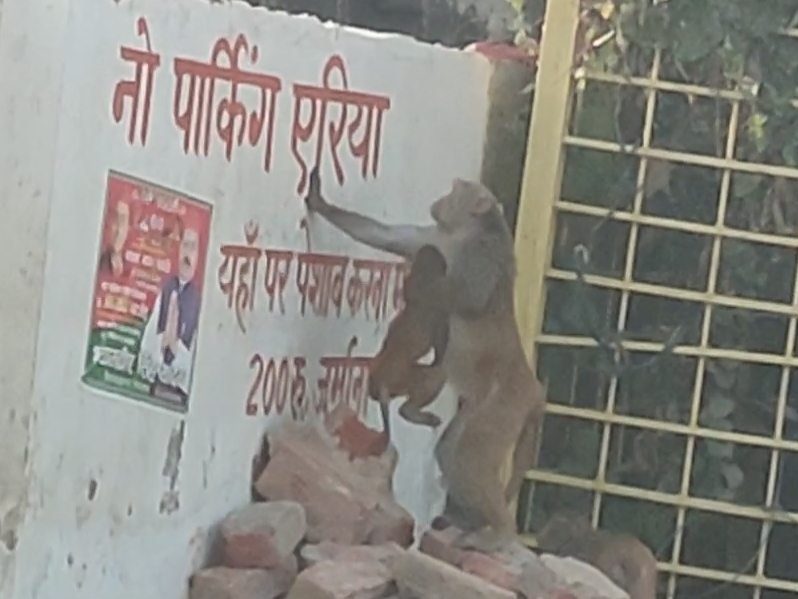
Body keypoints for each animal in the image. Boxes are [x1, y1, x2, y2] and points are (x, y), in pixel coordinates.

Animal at [367, 243, 450, 441]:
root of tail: (382, 383)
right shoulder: (439, 308)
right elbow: (441, 341)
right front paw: (438, 358)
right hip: (404, 378)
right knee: (436, 374)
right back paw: (410, 411)